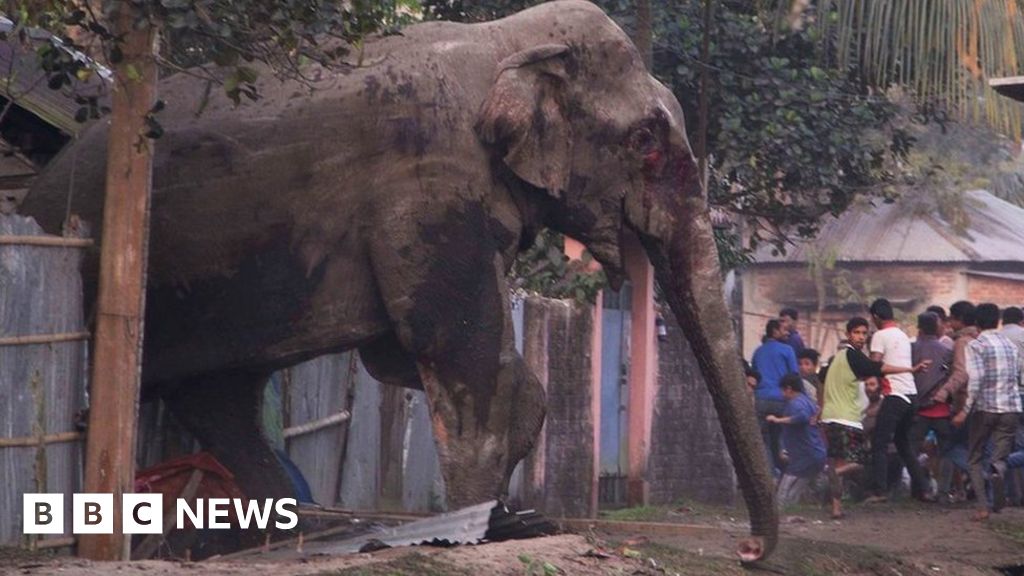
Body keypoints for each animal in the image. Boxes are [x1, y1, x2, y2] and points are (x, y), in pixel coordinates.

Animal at [21, 0, 777, 560]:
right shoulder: (427, 182)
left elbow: (404, 354)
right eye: (646, 141)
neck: (503, 41)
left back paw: (277, 535)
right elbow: (449, 343)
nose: (746, 551)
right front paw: (482, 527)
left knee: (220, 397)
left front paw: (506, 518)